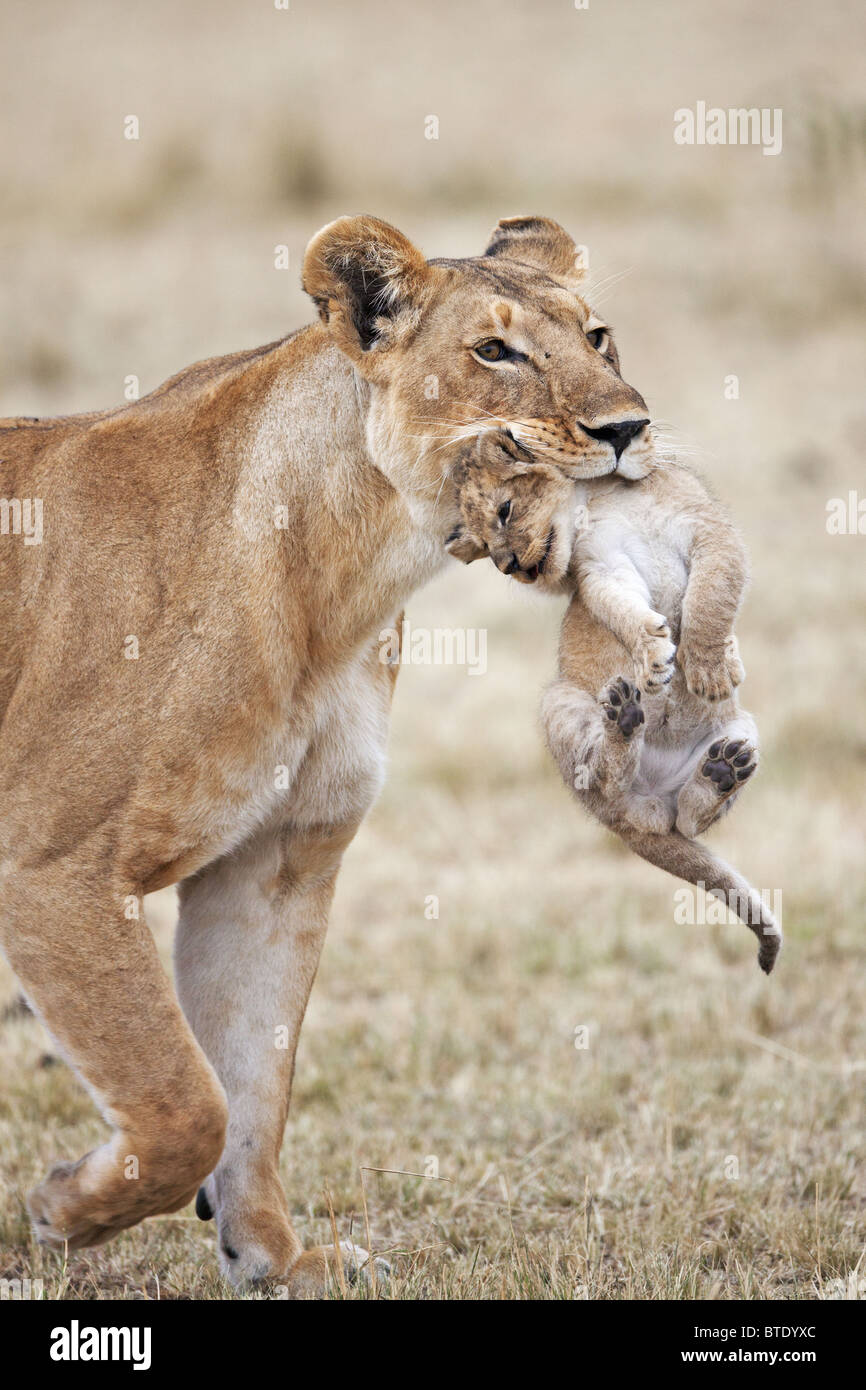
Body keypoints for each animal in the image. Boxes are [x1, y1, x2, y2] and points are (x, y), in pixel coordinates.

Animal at [0, 213, 654, 1292]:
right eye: (494, 351)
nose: (629, 429)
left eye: (597, 336)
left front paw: (273, 1259)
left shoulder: (274, 864)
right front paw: (66, 1207)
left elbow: (250, 1089)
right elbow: (182, 1097)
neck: (341, 585)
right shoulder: (50, 866)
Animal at [447, 430, 781, 974]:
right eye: (482, 548)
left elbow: (711, 599)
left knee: (689, 819)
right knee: (610, 777)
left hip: (744, 728)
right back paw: (626, 719)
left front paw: (709, 671)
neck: (602, 498)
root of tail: (628, 821)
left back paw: (720, 772)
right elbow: (621, 608)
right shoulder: (603, 565)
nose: (509, 565)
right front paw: (654, 657)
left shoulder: (708, 529)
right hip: (559, 702)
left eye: (504, 511)